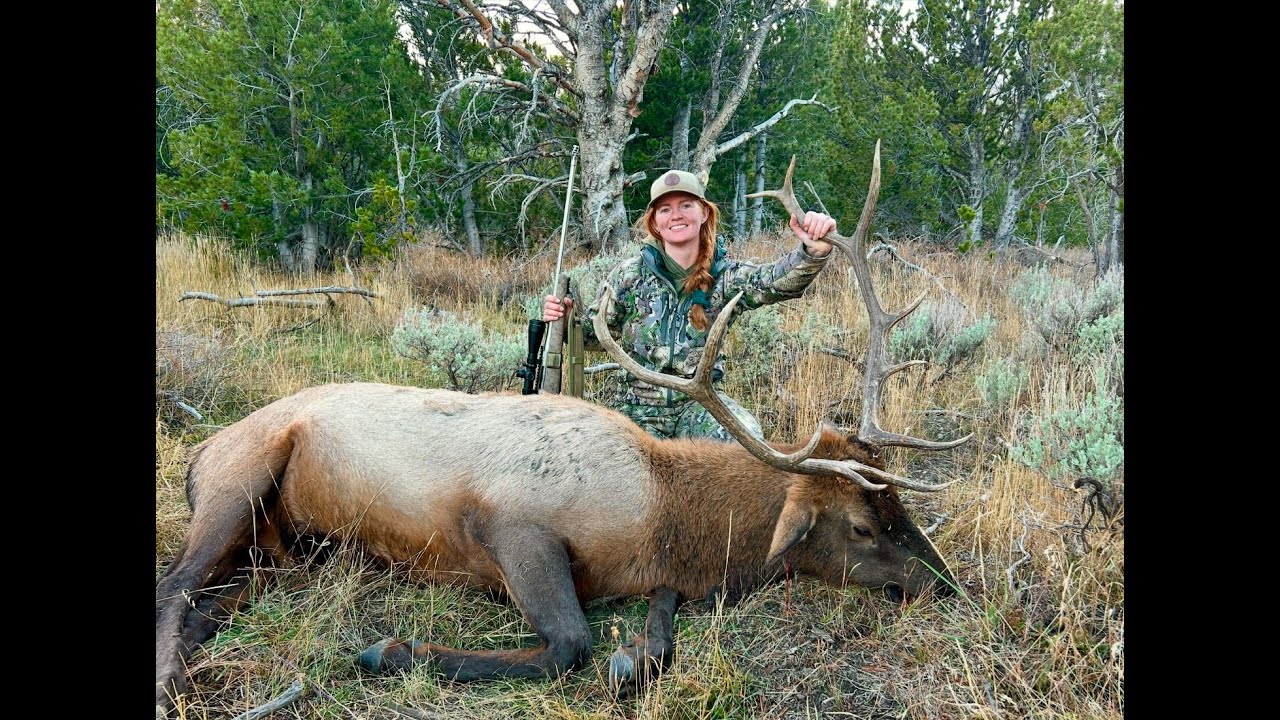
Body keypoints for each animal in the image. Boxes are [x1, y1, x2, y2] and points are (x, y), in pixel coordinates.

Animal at [155, 143, 969, 718]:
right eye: (861, 526)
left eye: (900, 504)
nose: (946, 585)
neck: (663, 515)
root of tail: (199, 452)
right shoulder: (509, 525)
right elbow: (569, 644)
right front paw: (389, 650)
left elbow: (656, 623)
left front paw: (637, 654)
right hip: (241, 476)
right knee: (173, 584)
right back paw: (174, 681)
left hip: (279, 554)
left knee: (211, 596)